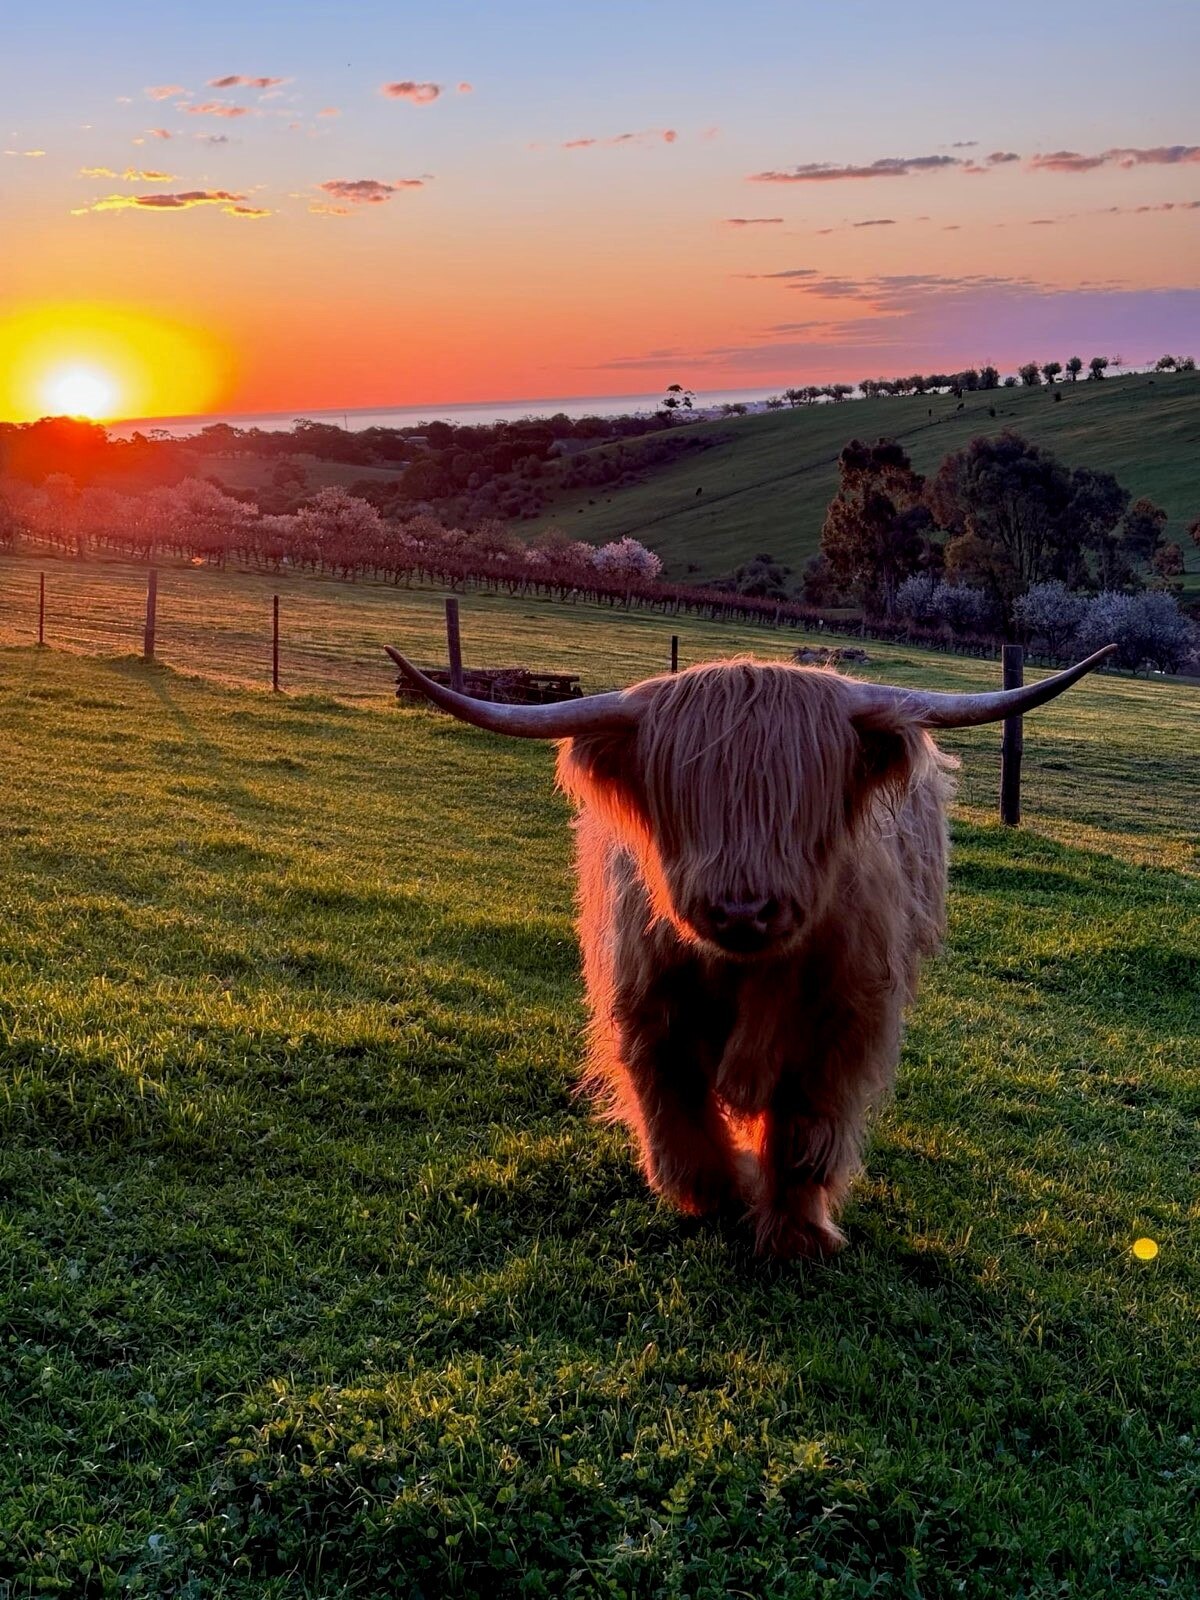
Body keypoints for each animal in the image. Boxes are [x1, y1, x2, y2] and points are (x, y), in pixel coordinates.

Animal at [387, 643, 1114, 1259]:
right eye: (688, 797)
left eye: (800, 801)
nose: (742, 910)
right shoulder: (647, 1009)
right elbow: (676, 1112)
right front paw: (712, 1195)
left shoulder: (840, 1021)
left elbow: (804, 1132)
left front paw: (796, 1235)